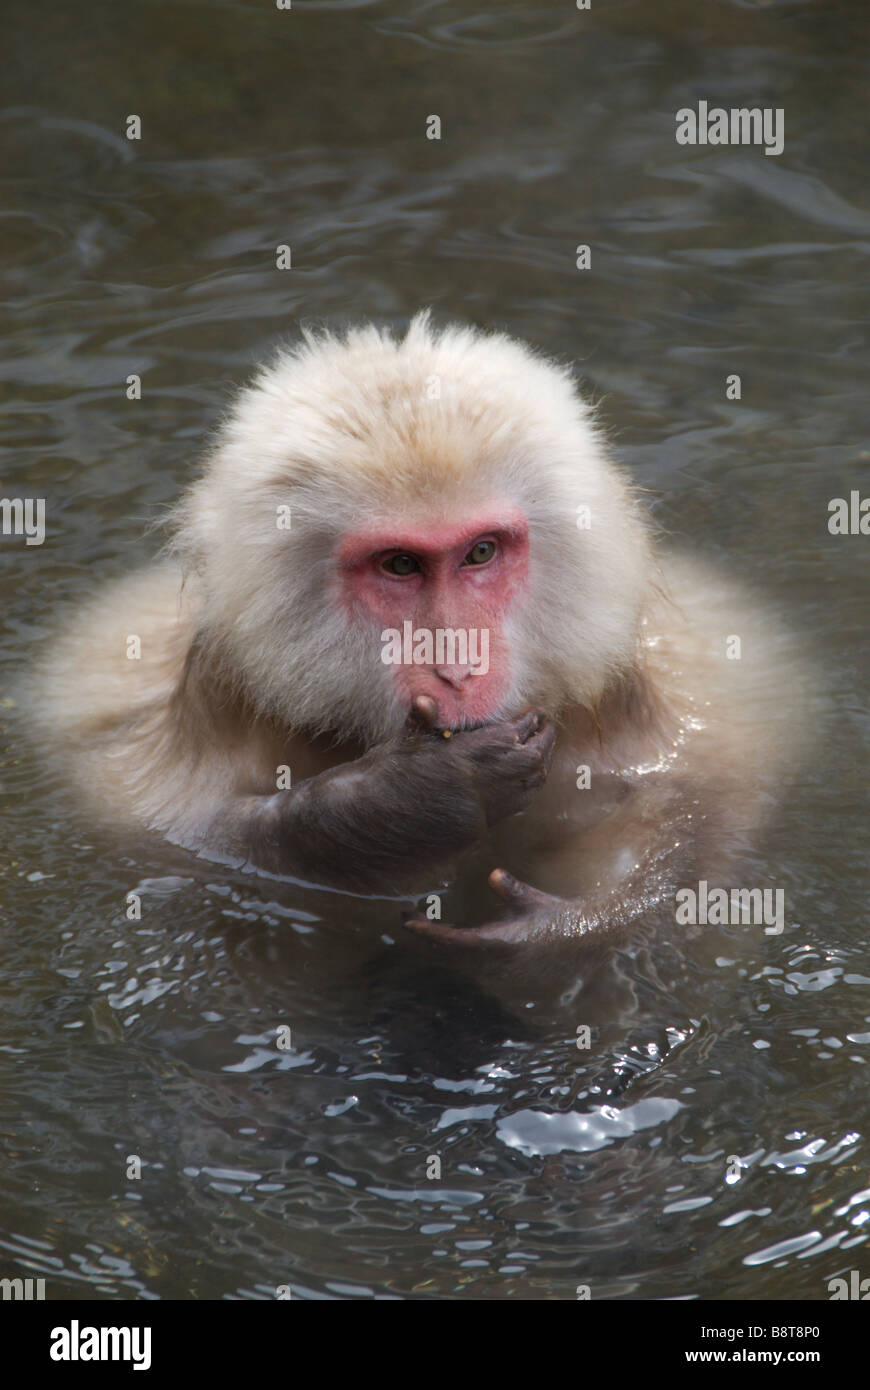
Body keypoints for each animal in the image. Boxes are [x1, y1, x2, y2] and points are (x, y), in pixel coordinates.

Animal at [27, 313, 802, 950]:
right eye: (400, 564)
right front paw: (411, 799)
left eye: (481, 552)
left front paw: (568, 926)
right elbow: (185, 834)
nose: (458, 666)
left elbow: (691, 820)